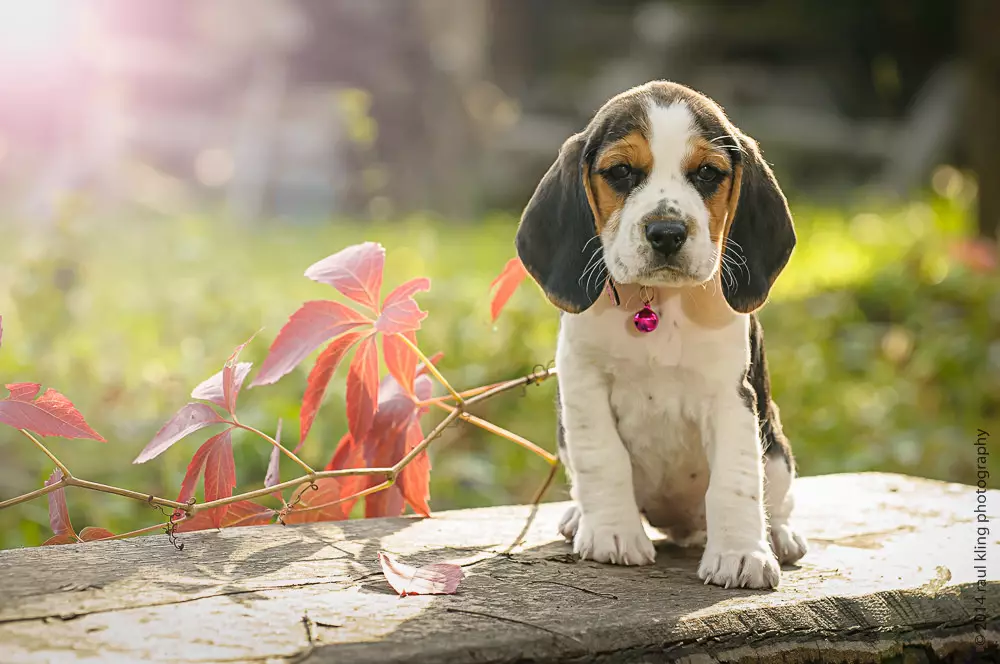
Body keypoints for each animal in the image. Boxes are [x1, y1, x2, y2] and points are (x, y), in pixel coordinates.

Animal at [516, 81, 804, 588]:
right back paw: (579, 518)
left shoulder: (731, 396)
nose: (667, 233)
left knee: (776, 494)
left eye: (707, 173)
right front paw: (612, 535)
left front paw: (741, 555)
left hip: (776, 446)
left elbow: (735, 479)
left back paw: (780, 536)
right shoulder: (584, 385)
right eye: (621, 171)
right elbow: (604, 458)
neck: (659, 303)